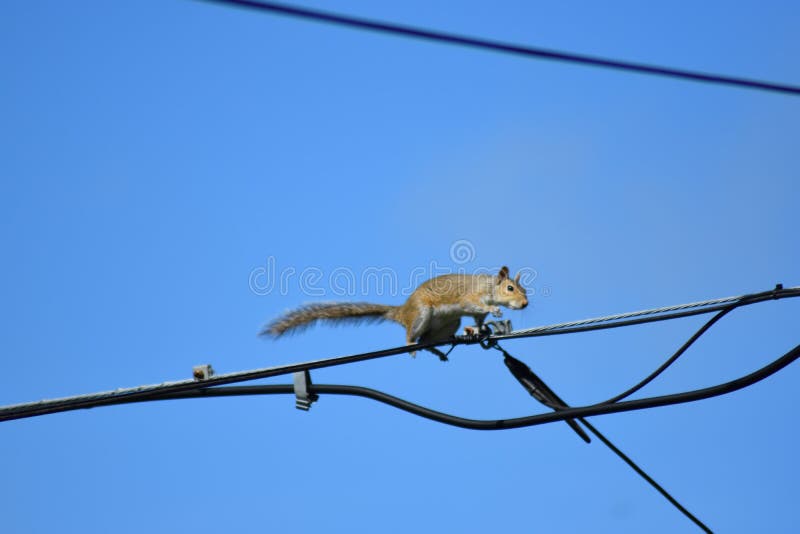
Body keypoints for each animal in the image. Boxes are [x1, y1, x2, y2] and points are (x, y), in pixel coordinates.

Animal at [261, 266, 528, 359]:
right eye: (510, 288)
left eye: (524, 289)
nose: (525, 303)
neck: (488, 286)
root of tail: (402, 312)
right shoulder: (470, 298)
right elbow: (477, 306)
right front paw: (494, 309)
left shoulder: (473, 311)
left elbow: (479, 319)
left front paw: (479, 329)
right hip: (421, 314)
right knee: (411, 338)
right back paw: (411, 348)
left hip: (447, 324)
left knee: (425, 340)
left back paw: (437, 351)